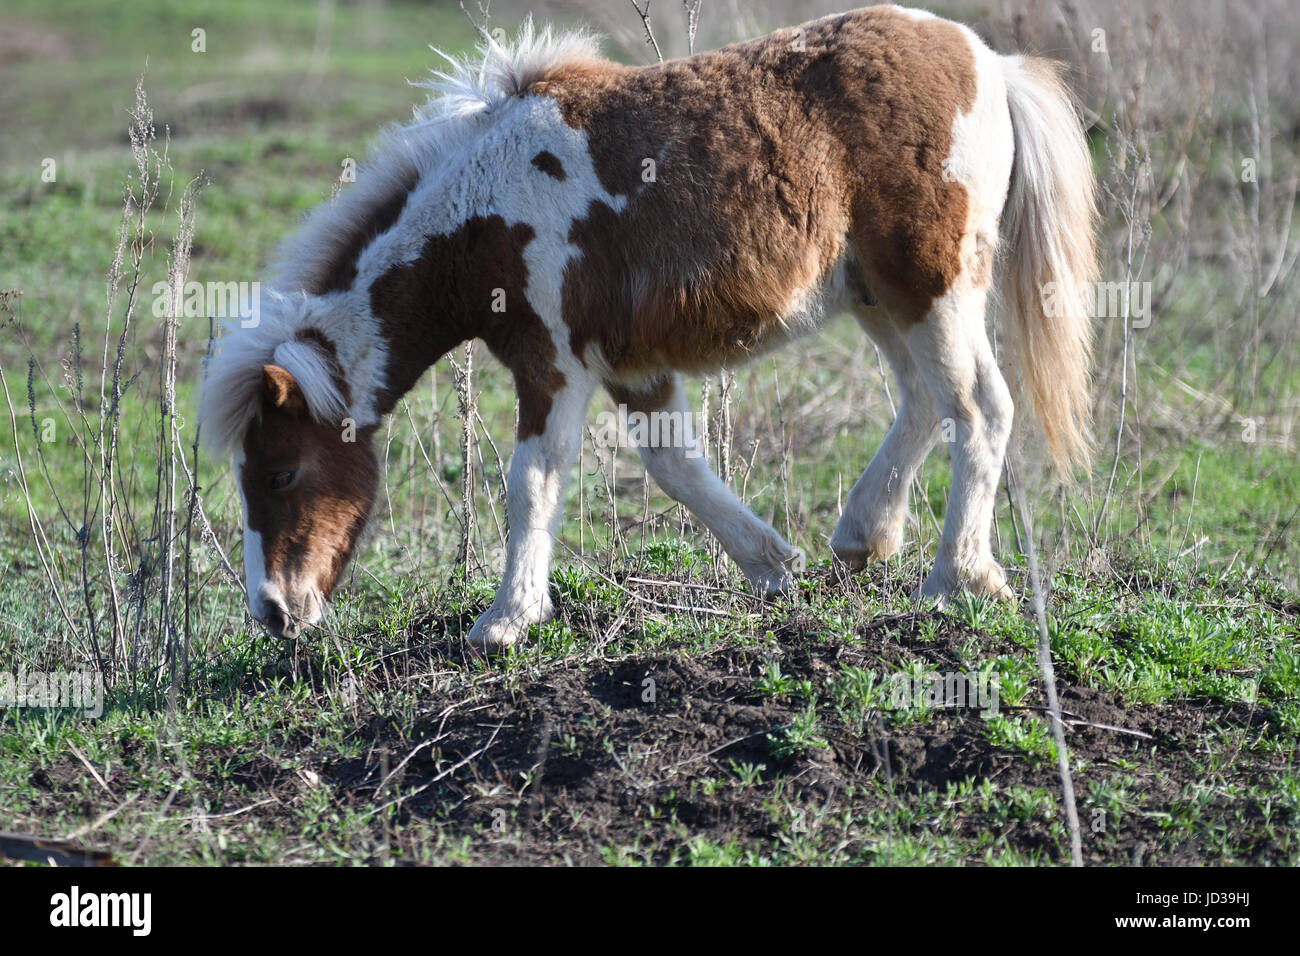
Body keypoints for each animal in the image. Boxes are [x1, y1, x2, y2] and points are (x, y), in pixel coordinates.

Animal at [199, 5, 1098, 651]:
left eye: (280, 473)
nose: (272, 611)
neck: (484, 214)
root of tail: (990, 61)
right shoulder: (634, 366)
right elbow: (676, 464)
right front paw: (773, 566)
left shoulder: (552, 362)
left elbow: (532, 483)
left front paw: (504, 620)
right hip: (878, 296)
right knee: (921, 400)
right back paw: (863, 535)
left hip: (931, 286)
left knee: (978, 407)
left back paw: (955, 579)